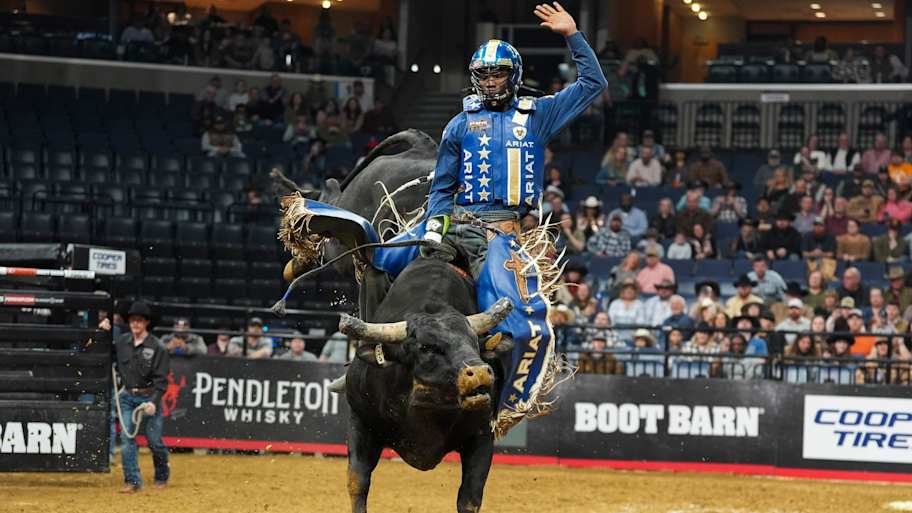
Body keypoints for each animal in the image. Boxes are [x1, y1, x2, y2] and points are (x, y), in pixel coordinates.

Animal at [338, 255, 514, 513]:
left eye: (475, 342)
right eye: (426, 347)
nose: (481, 373)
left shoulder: (482, 437)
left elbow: (469, 498)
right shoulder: (360, 422)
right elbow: (357, 482)